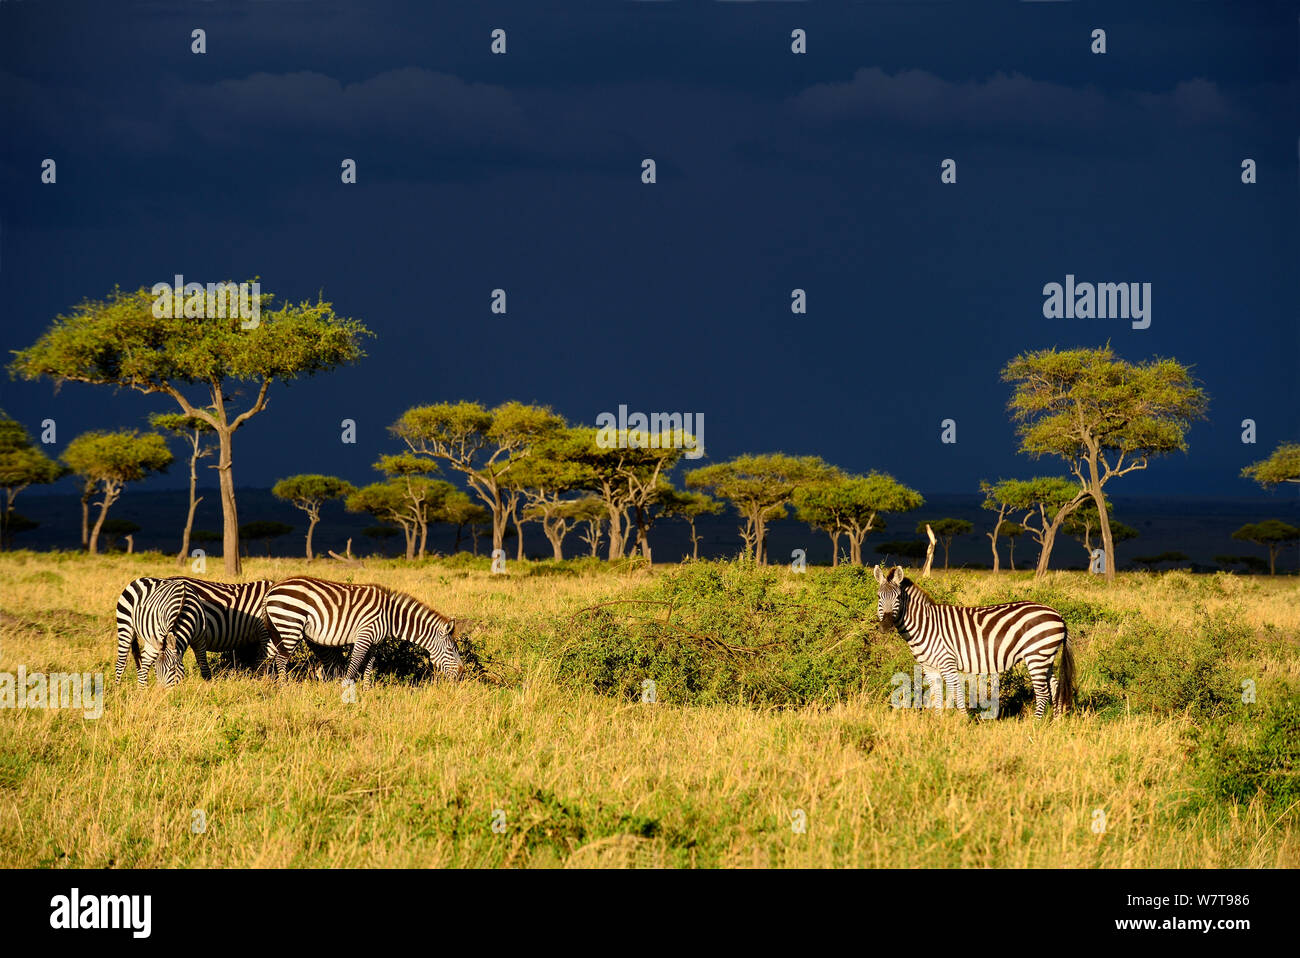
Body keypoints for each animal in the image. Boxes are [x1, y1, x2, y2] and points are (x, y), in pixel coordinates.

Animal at [263, 576, 463, 684]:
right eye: (450, 650)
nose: (462, 672)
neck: (390, 616)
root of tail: (272, 588)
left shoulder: (374, 642)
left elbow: (368, 668)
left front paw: (367, 691)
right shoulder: (364, 636)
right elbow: (354, 666)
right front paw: (345, 689)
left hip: (278, 629)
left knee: (269, 656)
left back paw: (267, 683)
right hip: (290, 625)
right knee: (281, 659)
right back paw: (285, 688)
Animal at [873, 564, 1075, 718]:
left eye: (898, 598)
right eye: (879, 597)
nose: (886, 626)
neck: (925, 625)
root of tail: (1058, 615)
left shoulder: (947, 662)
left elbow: (957, 691)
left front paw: (963, 721)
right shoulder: (929, 667)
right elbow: (936, 694)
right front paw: (937, 721)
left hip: (1036, 654)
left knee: (1042, 692)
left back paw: (1035, 724)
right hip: (1045, 656)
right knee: (1055, 686)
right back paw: (1055, 723)